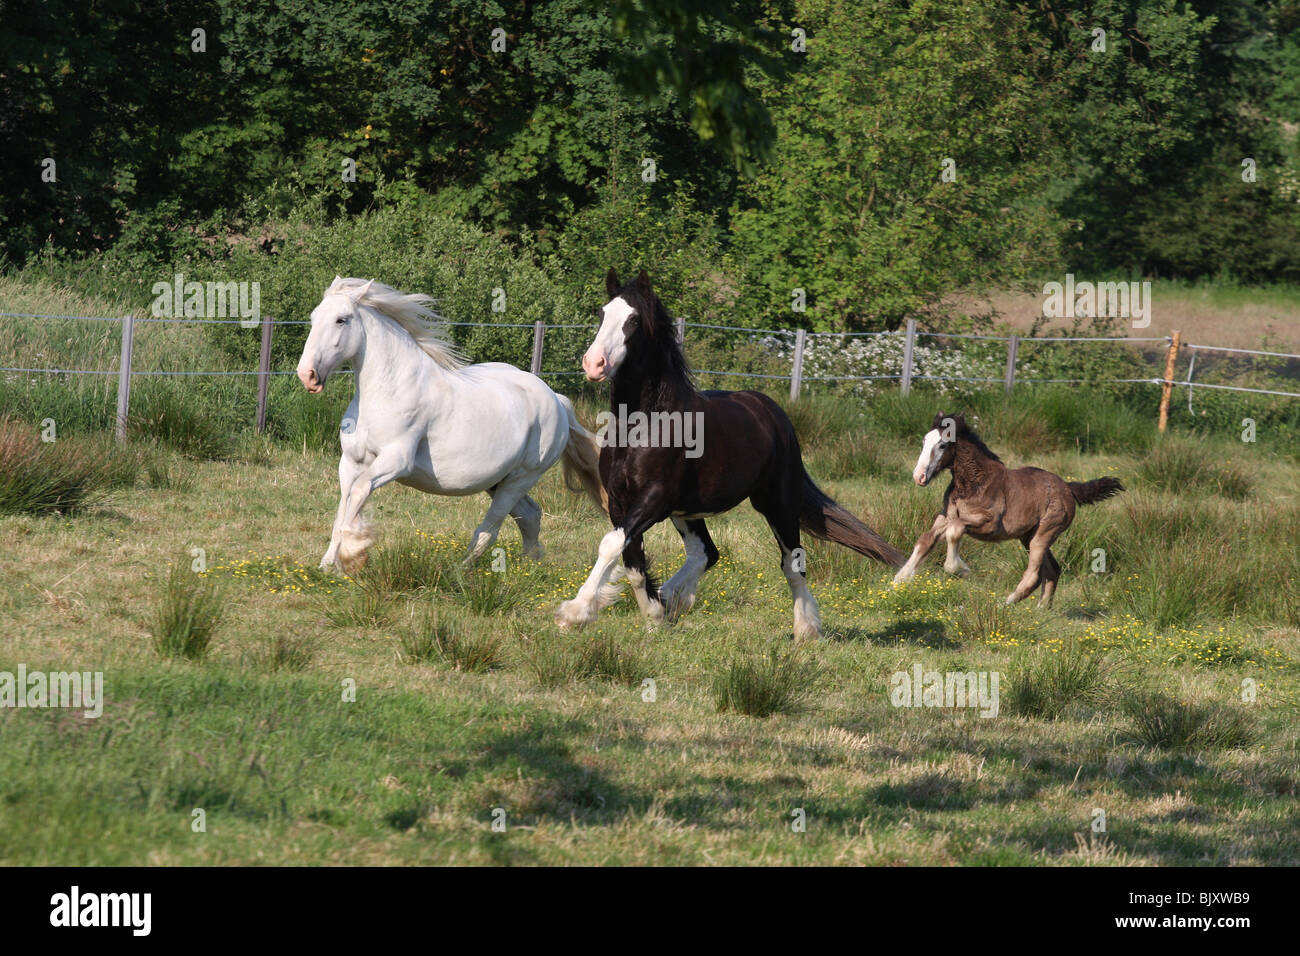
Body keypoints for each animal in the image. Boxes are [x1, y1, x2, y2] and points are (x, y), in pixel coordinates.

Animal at [295, 277, 607, 573]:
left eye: (341, 319)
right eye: (313, 317)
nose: (307, 374)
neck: (388, 391)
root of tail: (557, 401)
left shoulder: (396, 462)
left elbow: (359, 494)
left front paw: (353, 556)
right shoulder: (350, 462)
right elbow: (343, 509)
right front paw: (327, 566)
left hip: (520, 479)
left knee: (489, 530)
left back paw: (459, 571)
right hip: (499, 480)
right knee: (530, 515)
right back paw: (529, 567)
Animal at [555, 269, 904, 641]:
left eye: (633, 320)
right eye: (602, 314)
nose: (594, 363)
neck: (645, 424)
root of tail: (772, 412)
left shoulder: (653, 500)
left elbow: (611, 545)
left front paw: (574, 613)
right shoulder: (621, 504)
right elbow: (630, 558)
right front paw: (655, 613)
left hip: (776, 503)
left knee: (792, 563)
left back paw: (806, 630)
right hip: (689, 510)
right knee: (707, 553)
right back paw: (673, 597)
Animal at [893, 412, 1123, 606]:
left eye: (942, 445)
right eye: (924, 441)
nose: (919, 476)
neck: (974, 483)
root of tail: (1068, 487)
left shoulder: (989, 524)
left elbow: (955, 531)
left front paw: (960, 569)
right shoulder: (944, 518)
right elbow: (925, 540)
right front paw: (899, 580)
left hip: (1045, 533)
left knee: (1034, 574)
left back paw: (1007, 602)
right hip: (1028, 537)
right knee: (1052, 570)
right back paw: (1041, 610)